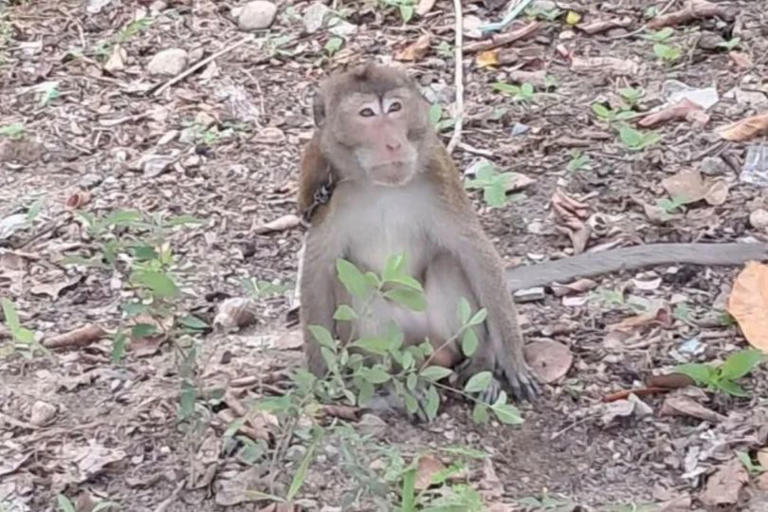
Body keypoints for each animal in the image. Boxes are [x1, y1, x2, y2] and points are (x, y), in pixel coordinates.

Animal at [296, 63, 538, 411]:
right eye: (367, 113)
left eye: (395, 108)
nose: (393, 143)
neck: (380, 186)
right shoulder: (327, 192)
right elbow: (318, 270)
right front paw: (319, 378)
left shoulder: (437, 173)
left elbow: (474, 251)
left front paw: (513, 359)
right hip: (396, 341)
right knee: (355, 281)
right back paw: (394, 385)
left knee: (448, 261)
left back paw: (480, 363)